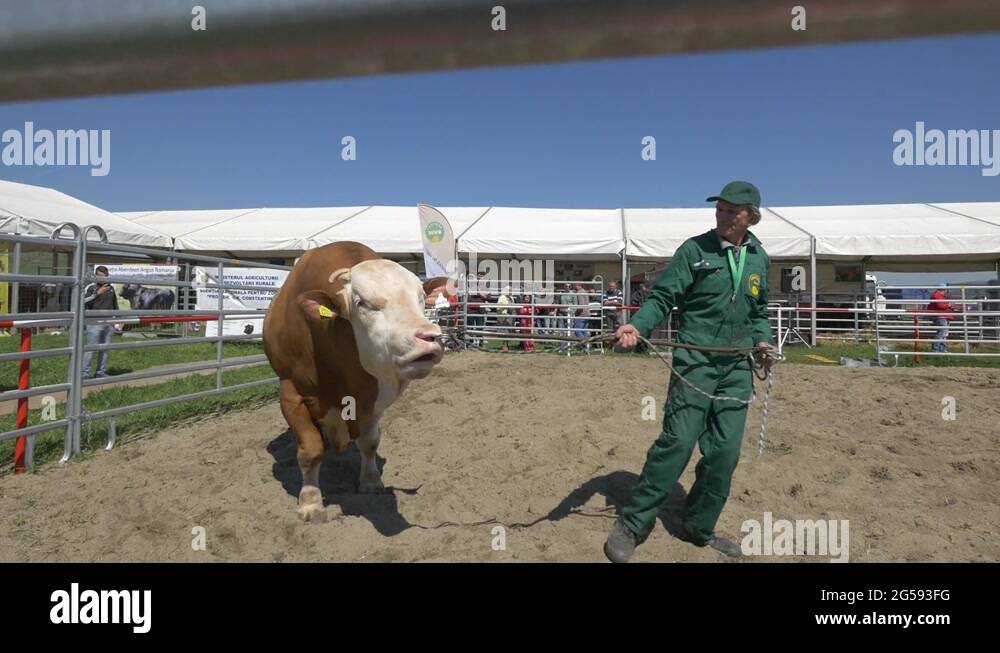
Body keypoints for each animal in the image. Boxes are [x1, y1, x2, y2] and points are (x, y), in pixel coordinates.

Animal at [263, 242, 445, 521]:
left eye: (422, 298)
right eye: (362, 303)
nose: (430, 337)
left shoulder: (374, 401)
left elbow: (369, 443)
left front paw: (370, 482)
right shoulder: (291, 394)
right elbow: (311, 450)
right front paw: (310, 502)